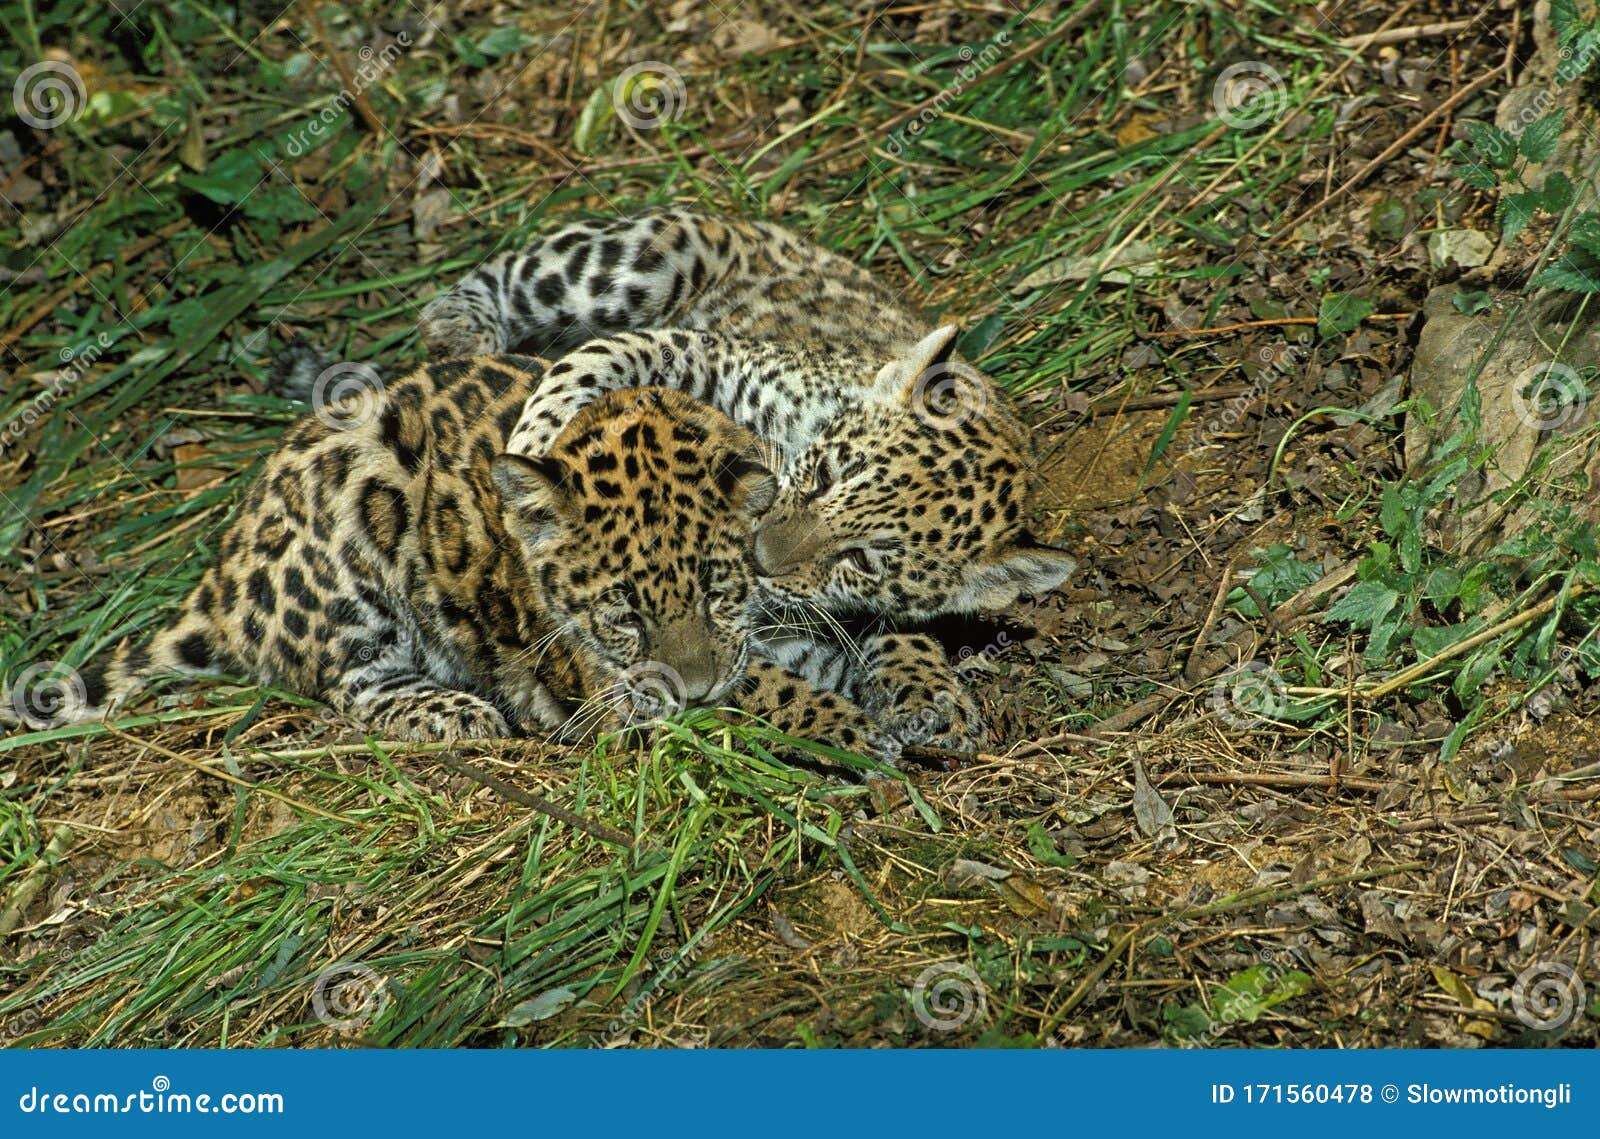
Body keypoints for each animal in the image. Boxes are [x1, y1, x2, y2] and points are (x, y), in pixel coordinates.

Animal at [8, 355, 888, 756]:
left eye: (716, 591)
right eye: (622, 616)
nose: (697, 686)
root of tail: (219, 577)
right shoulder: (613, 692)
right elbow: (756, 692)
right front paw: (847, 730)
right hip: (355, 504)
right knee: (350, 682)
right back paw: (453, 711)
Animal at [417, 208, 1078, 750]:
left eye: (864, 559)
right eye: (825, 475)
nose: (758, 559)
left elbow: (889, 630)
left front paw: (928, 695)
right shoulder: (711, 354)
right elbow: (601, 359)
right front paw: (536, 438)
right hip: (641, 259)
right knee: (509, 273)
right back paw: (457, 328)